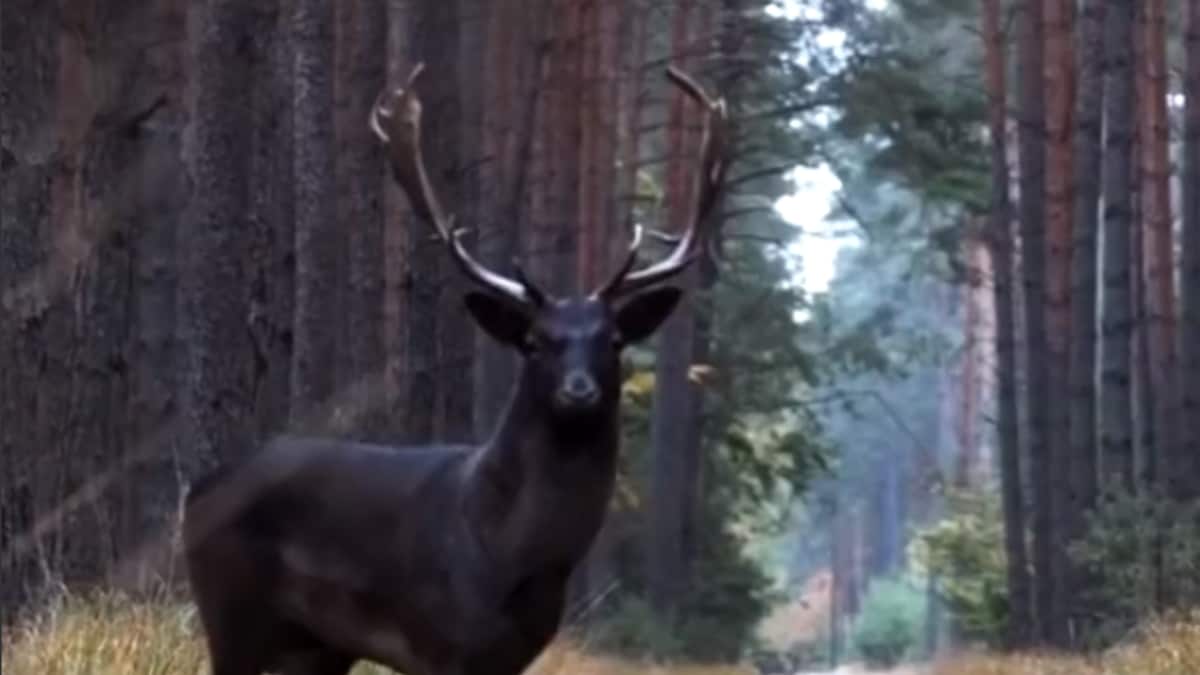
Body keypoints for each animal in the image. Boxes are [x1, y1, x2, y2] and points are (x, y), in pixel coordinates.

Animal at [181, 62, 728, 675]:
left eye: (612, 340)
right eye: (535, 341)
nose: (578, 391)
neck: (506, 554)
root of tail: (195, 492)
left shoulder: (514, 654)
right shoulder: (440, 642)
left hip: (318, 645)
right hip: (229, 609)